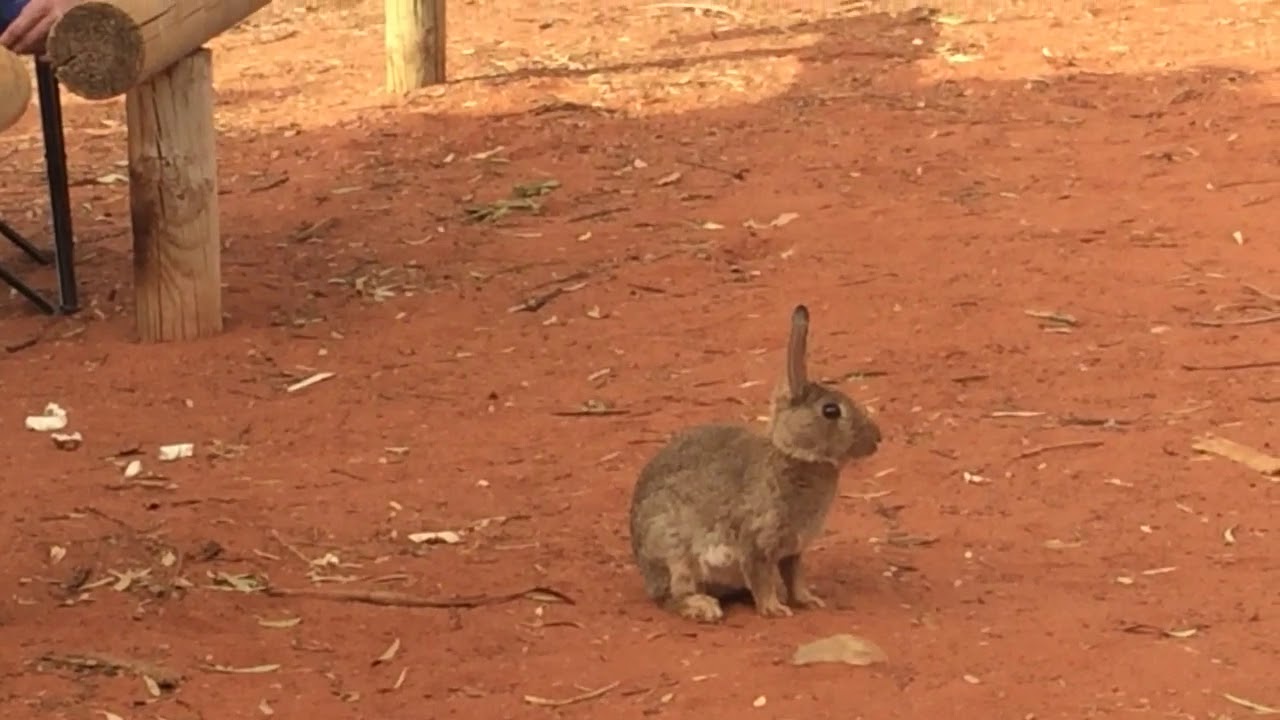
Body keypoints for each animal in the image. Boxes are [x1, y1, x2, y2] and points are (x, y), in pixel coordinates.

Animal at [628, 305, 881, 623]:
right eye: (831, 411)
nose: (877, 438)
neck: (791, 456)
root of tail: (643, 565)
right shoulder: (756, 544)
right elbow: (761, 579)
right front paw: (775, 610)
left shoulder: (792, 549)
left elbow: (794, 577)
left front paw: (809, 601)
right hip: (674, 550)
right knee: (671, 596)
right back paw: (704, 608)